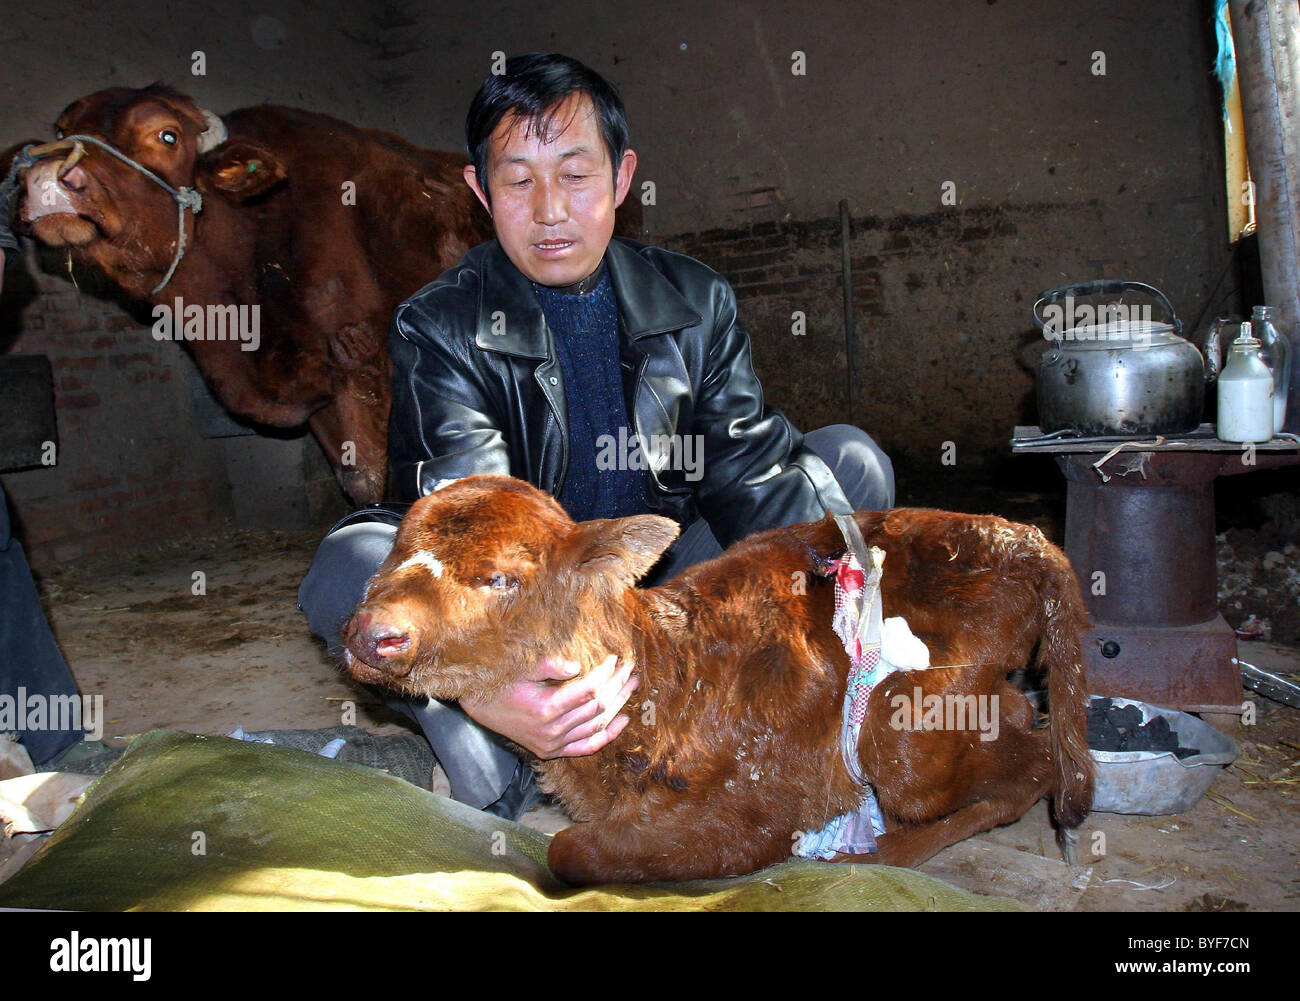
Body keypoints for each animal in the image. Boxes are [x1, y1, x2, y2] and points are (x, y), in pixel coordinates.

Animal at [1, 83, 497, 505]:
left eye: (167, 135)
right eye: (62, 131)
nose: (47, 176)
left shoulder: (363, 367)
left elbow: (375, 477)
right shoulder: (315, 394)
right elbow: (355, 480)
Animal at [340, 475, 1095, 886]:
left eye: (502, 577)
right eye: (394, 550)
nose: (372, 634)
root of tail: (1028, 541)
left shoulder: (746, 811)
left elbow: (570, 848)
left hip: (904, 737)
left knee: (1038, 765)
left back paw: (885, 847)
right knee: (1023, 719)